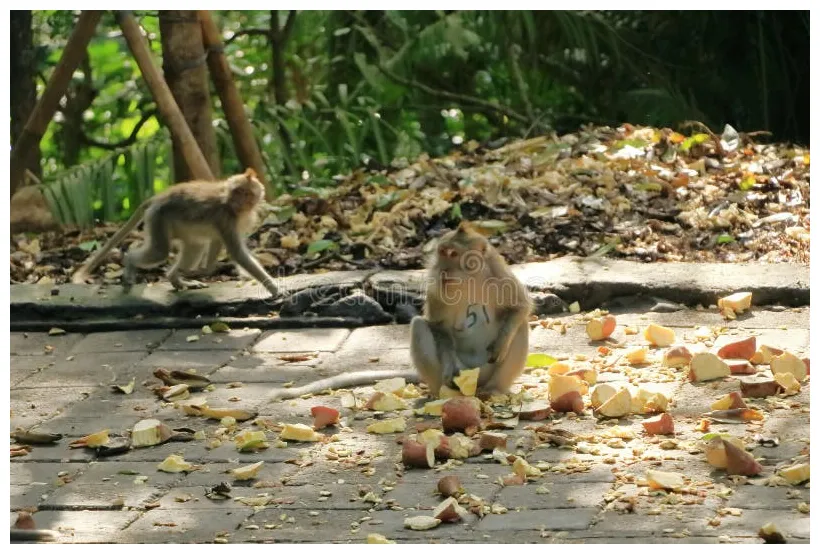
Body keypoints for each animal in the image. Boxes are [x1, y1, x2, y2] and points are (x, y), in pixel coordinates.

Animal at [71, 168, 279, 297]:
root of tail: (158, 197)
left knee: (195, 248)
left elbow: (218, 242)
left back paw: (176, 280)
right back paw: (130, 262)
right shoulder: (226, 217)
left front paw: (208, 268)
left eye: (246, 194)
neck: (234, 208)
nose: (238, 202)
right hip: (158, 219)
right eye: (237, 192)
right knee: (159, 251)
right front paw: (274, 288)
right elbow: (237, 253)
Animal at [268, 222, 531, 402]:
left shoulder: (499, 275)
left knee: (520, 328)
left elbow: (520, 308)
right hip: (462, 371)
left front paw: (500, 344)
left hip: (486, 371)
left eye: (453, 254)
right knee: (419, 327)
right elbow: (437, 327)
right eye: (441, 253)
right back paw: (442, 392)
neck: (471, 280)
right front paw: (448, 366)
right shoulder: (436, 288)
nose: (442, 270)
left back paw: (494, 390)